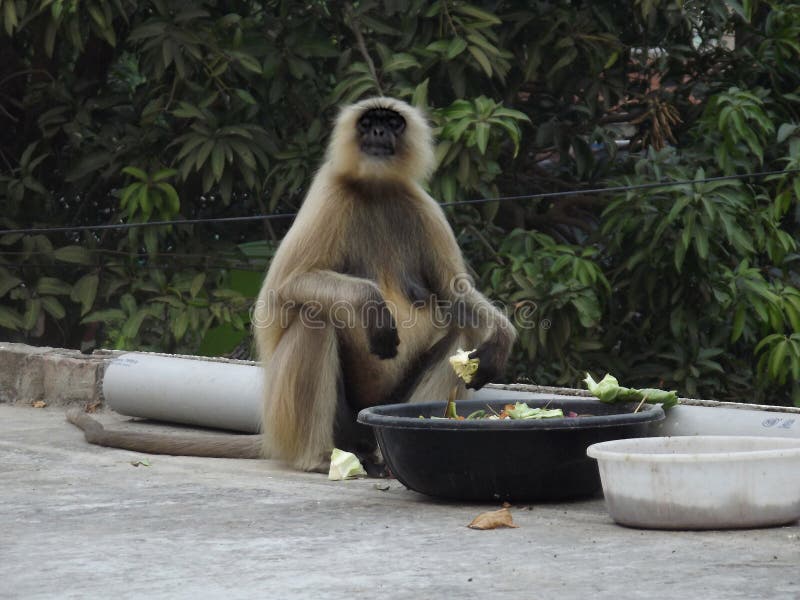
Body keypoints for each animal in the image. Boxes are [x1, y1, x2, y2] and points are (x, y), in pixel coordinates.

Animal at [68, 97, 516, 472]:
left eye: (392, 123)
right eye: (368, 122)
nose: (377, 133)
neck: (375, 189)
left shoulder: (423, 207)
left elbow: (454, 295)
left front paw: (504, 337)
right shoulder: (329, 195)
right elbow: (283, 291)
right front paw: (370, 303)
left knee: (460, 334)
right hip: (308, 416)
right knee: (314, 318)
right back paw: (318, 458)